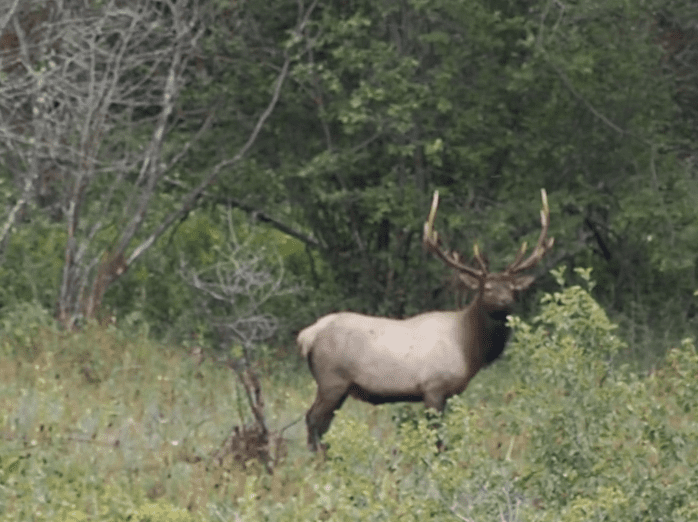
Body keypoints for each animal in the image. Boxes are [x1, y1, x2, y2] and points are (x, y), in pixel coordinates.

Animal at [298, 189, 554, 451]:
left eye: (512, 288)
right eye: (487, 288)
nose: (506, 301)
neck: (469, 350)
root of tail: (307, 336)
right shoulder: (433, 387)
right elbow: (436, 438)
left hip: (338, 387)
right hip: (331, 380)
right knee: (313, 420)